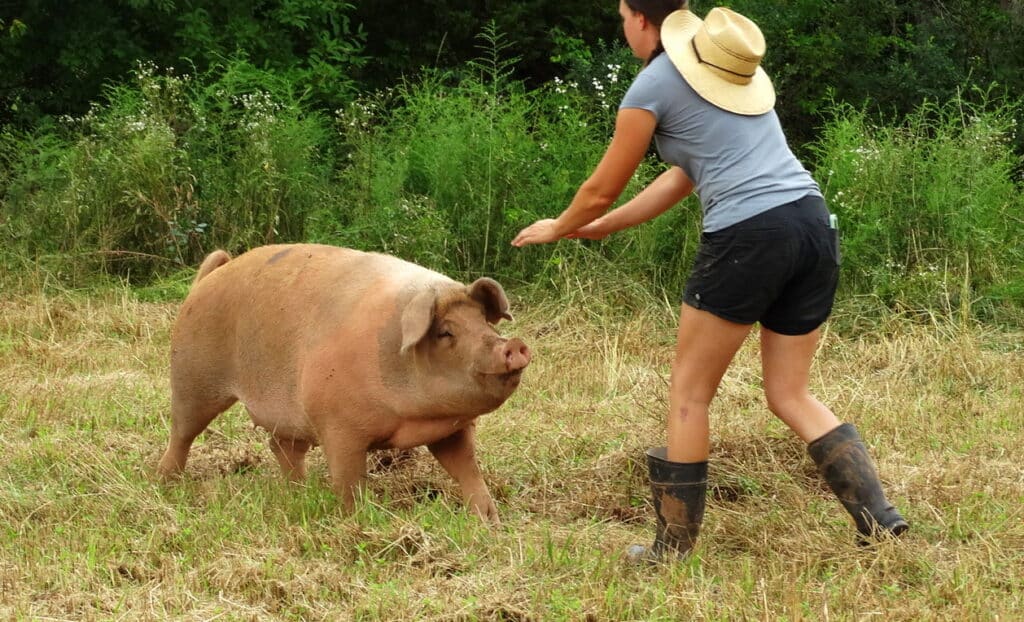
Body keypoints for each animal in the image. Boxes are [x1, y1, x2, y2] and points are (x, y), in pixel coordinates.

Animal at [157, 244, 530, 523]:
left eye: (484, 322)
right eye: (445, 332)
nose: (512, 345)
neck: (413, 415)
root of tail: (207, 279)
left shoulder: (451, 428)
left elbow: (466, 468)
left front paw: (490, 521)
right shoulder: (338, 426)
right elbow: (349, 479)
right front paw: (358, 520)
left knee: (281, 447)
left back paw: (299, 492)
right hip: (192, 377)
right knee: (182, 433)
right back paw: (166, 483)